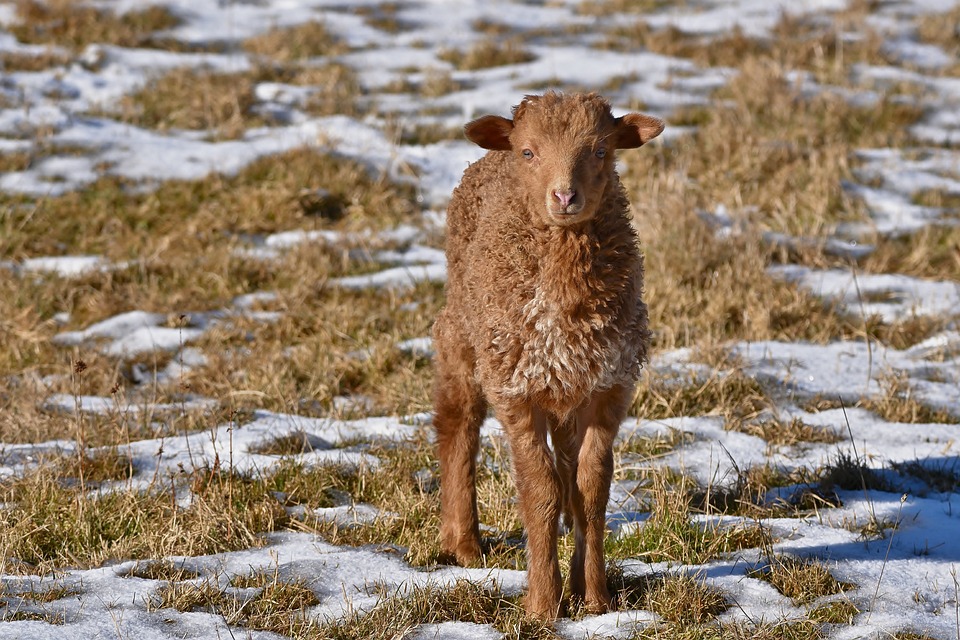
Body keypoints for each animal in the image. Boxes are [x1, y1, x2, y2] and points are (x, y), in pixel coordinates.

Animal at [432, 91, 664, 619]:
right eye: (529, 152)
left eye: (601, 151)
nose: (564, 197)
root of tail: (486, 156)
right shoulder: (517, 388)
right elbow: (539, 489)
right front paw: (542, 604)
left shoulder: (609, 386)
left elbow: (589, 488)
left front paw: (594, 597)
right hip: (465, 333)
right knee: (458, 422)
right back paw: (463, 543)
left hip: (564, 386)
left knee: (566, 465)